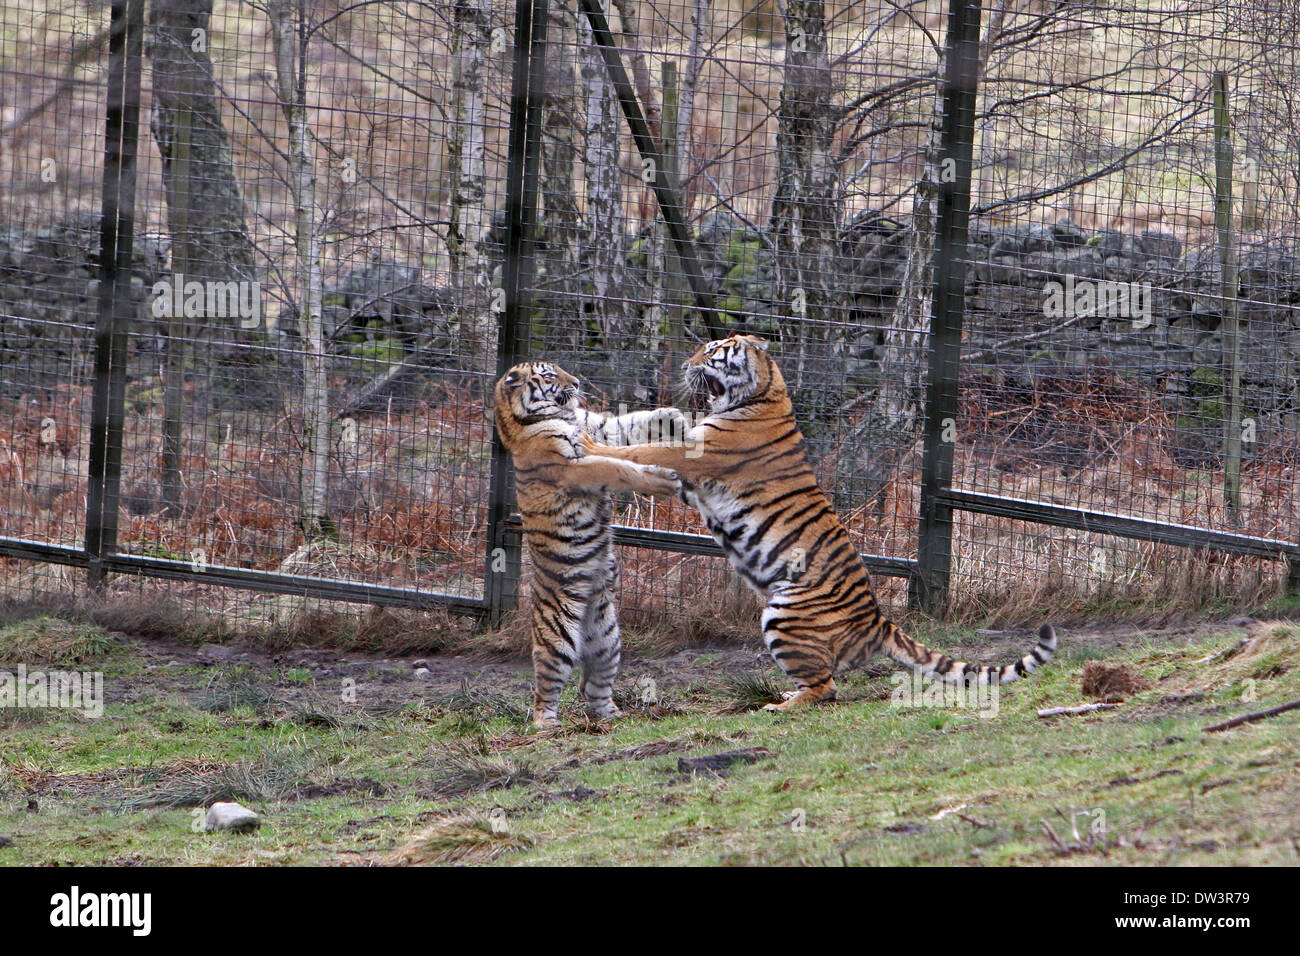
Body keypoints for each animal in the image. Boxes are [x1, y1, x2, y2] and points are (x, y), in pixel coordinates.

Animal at [494, 361, 683, 728]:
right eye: (549, 375)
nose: (578, 382)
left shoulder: (597, 430)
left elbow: (628, 424)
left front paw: (671, 418)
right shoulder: (575, 467)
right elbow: (620, 467)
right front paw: (663, 478)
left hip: (609, 641)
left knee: (592, 686)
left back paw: (613, 715)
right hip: (557, 636)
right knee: (545, 686)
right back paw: (547, 725)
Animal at [581, 333, 1058, 711]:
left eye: (713, 352)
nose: (684, 365)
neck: (764, 390)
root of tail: (878, 621)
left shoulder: (696, 457)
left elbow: (644, 451)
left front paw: (588, 443)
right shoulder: (691, 479)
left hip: (782, 615)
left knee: (827, 687)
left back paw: (780, 706)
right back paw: (786, 697)